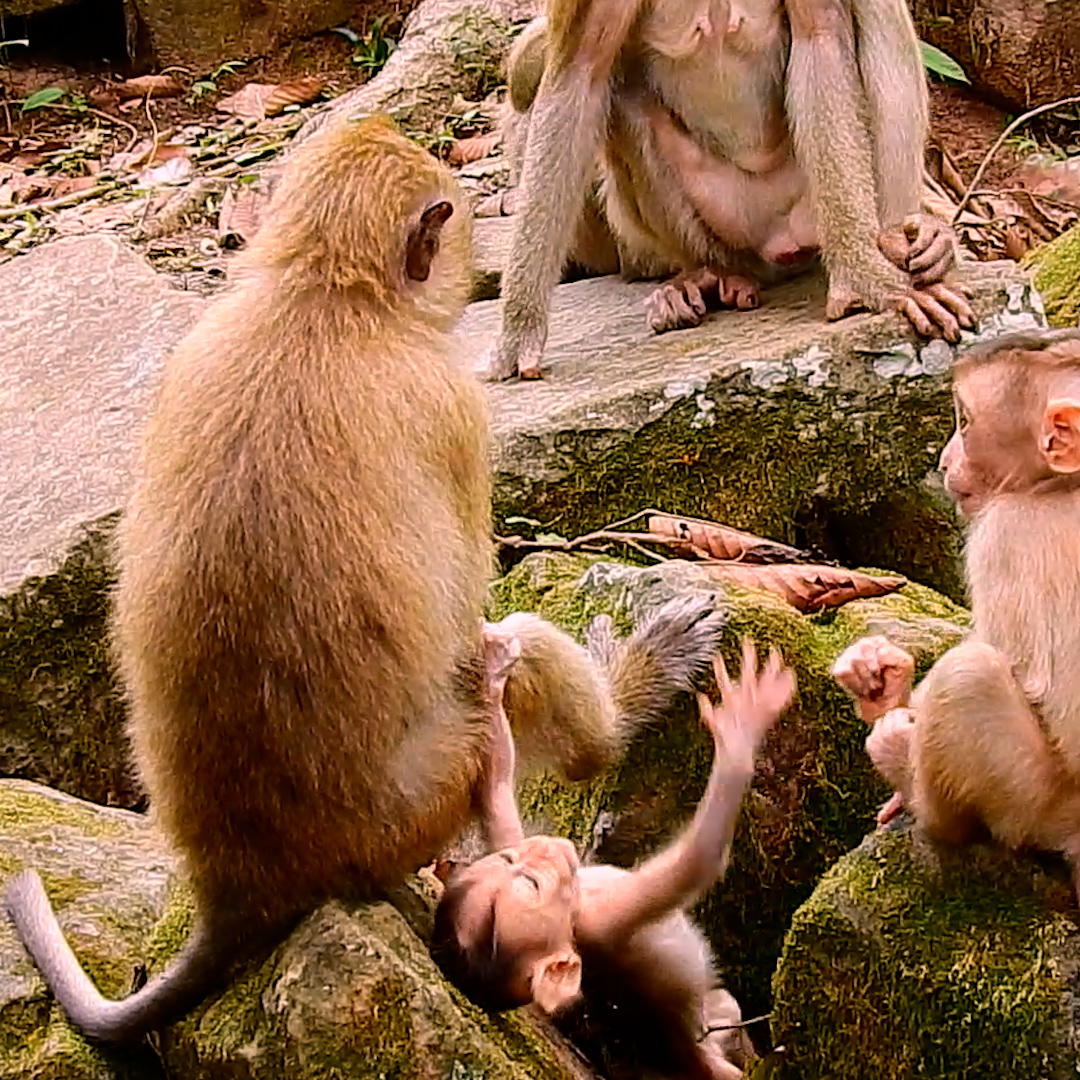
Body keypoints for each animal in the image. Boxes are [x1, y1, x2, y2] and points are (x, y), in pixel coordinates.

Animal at [3, 115, 726, 1046]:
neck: (322, 293)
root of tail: (241, 879)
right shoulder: (454, 406)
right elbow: (468, 621)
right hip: (437, 787)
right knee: (512, 654)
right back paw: (625, 702)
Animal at [431, 637, 796, 1080]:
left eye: (510, 859)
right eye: (533, 885)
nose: (546, 848)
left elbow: (497, 788)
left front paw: (495, 674)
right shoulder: (607, 917)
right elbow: (697, 861)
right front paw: (740, 735)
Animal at [483, 0, 975, 381]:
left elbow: (819, 34)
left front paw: (867, 279)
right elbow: (580, 71)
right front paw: (518, 333)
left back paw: (909, 238)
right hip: (726, 219)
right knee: (622, 95)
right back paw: (711, 280)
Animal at [831, 329, 1080, 898]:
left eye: (964, 422)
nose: (944, 461)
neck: (1059, 484)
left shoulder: (1003, 531)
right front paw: (885, 684)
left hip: (1040, 810)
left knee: (970, 676)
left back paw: (914, 787)